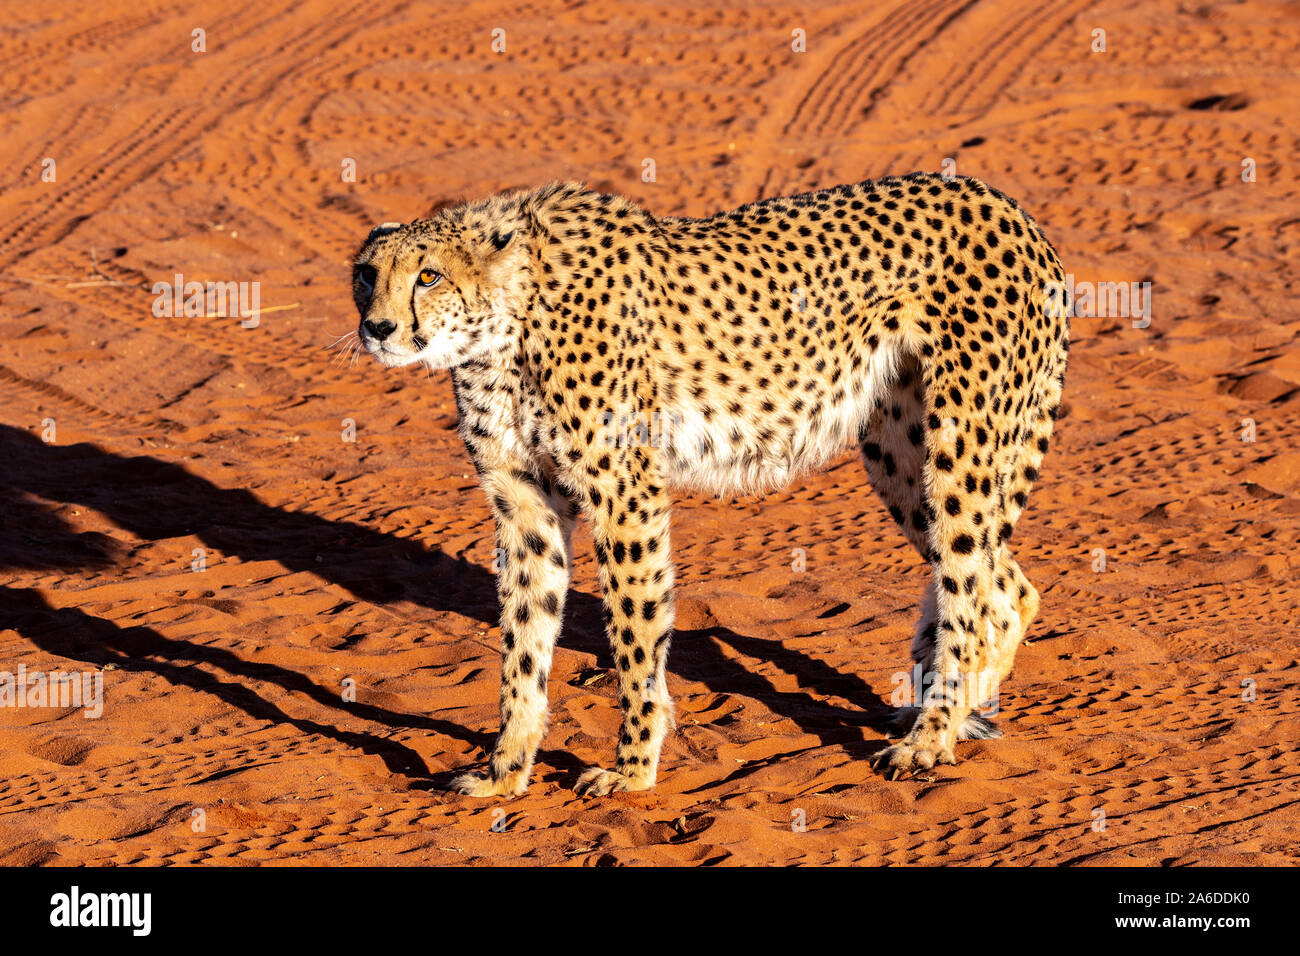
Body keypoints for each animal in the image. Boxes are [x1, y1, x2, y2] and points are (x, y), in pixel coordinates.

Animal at [350, 172, 1069, 797]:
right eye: (366, 275)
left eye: (429, 276)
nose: (378, 328)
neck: (503, 325)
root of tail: (1006, 206)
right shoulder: (525, 505)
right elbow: (524, 642)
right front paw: (506, 770)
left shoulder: (625, 494)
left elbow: (634, 635)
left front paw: (633, 770)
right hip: (900, 456)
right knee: (1008, 586)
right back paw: (949, 714)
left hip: (960, 450)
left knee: (974, 589)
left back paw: (930, 738)